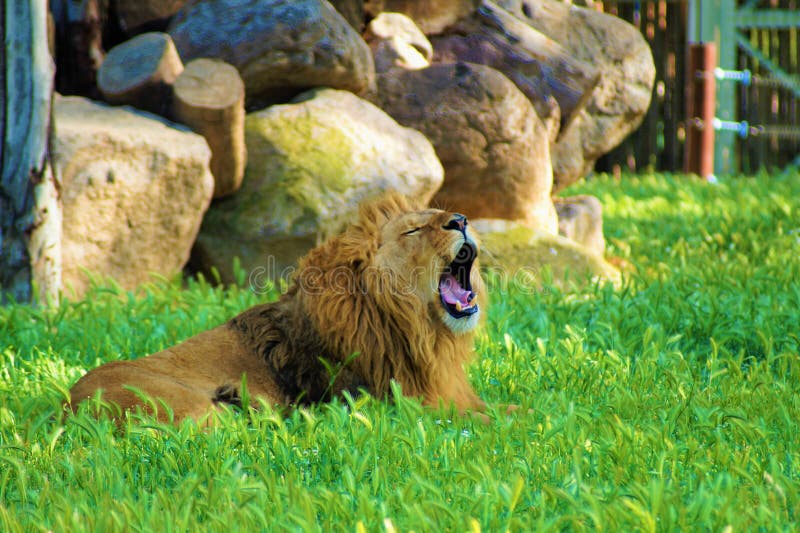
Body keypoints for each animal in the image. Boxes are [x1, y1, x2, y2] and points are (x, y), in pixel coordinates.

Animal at [68, 193, 492, 423]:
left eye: (442, 216)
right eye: (413, 230)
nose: (461, 220)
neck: (423, 334)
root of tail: (68, 409)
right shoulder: (397, 403)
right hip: (193, 409)